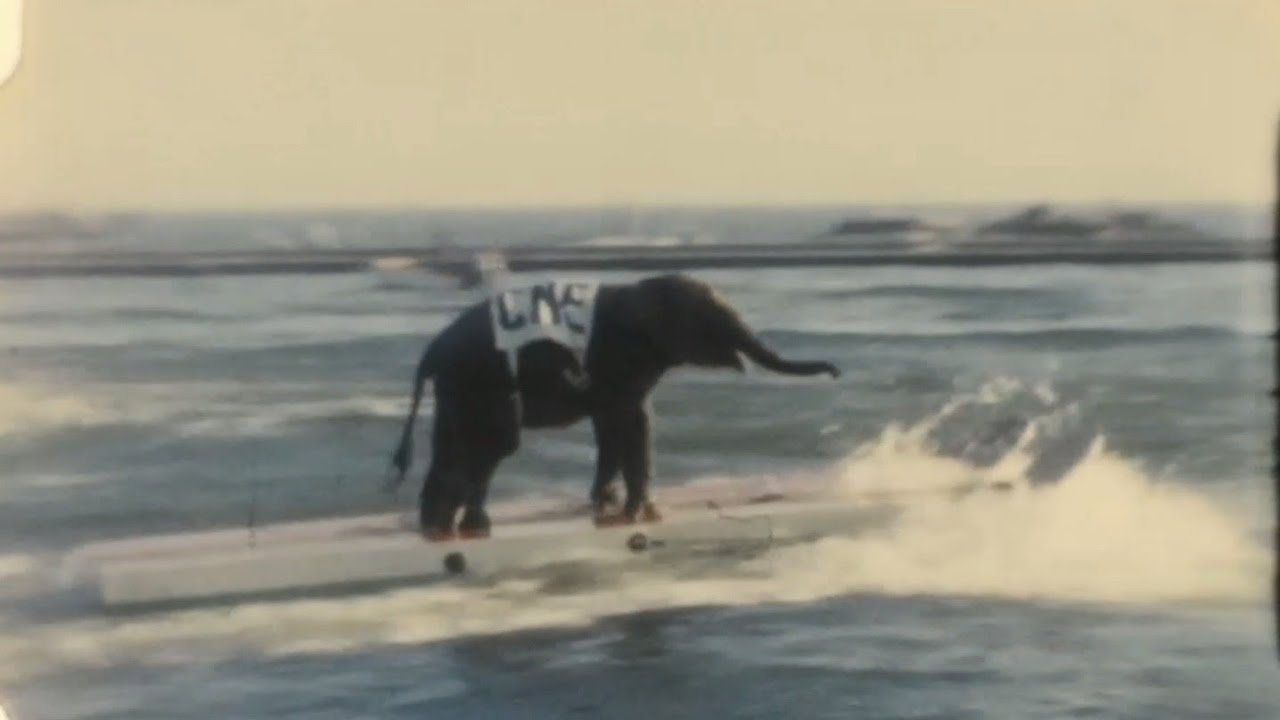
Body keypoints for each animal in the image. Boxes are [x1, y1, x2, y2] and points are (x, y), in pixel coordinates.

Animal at [386, 273, 841, 541]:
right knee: (492, 445)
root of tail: (429, 353)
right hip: (479, 380)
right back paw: (465, 529)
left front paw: (609, 507)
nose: (837, 373)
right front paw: (638, 515)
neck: (641, 289)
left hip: (457, 388)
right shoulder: (621, 359)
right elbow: (633, 421)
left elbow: (614, 426)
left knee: (458, 447)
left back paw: (439, 528)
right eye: (711, 320)